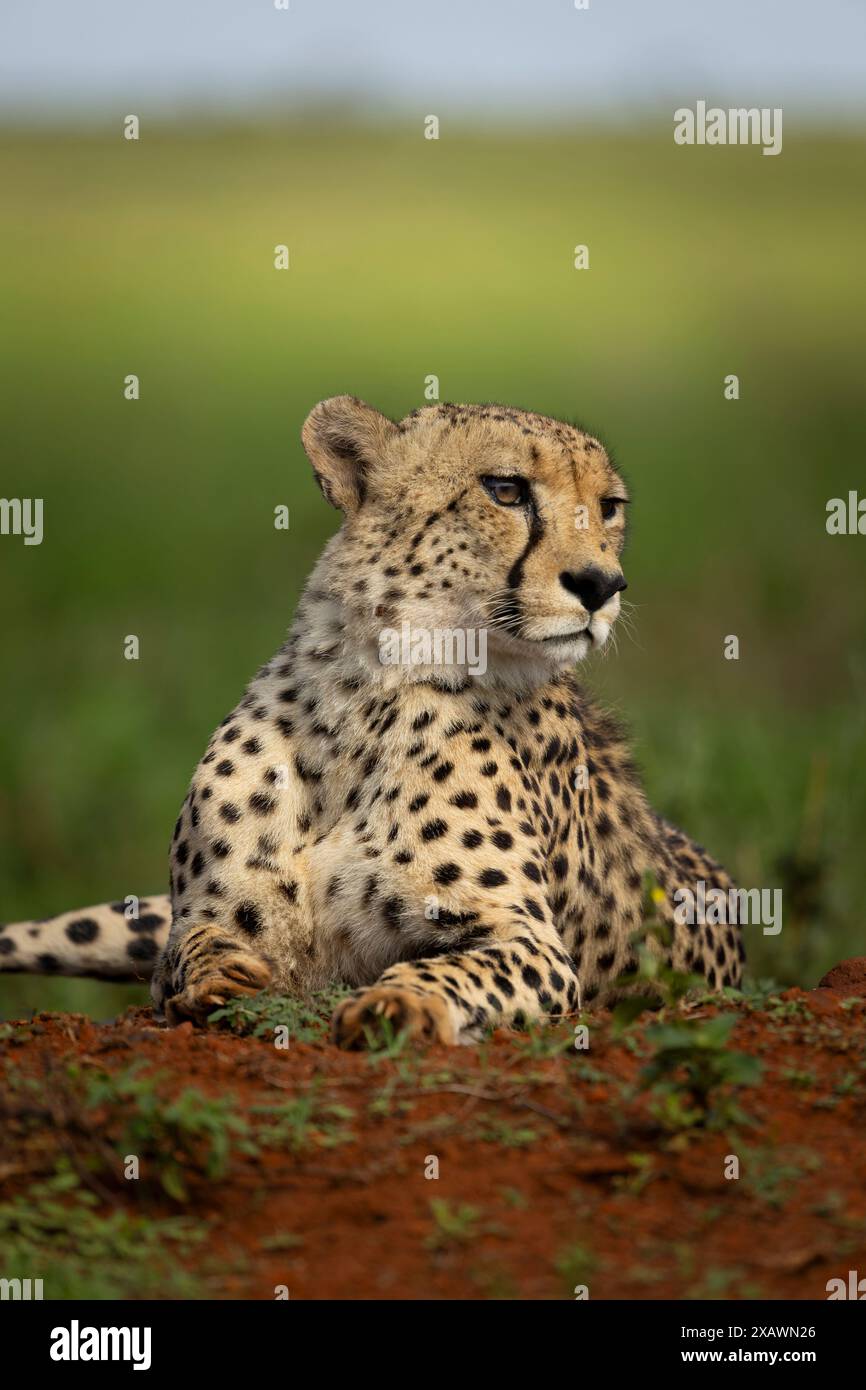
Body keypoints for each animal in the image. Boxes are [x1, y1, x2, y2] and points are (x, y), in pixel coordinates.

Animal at [0, 396, 744, 1046]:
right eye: (506, 490)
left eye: (609, 508)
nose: (602, 586)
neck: (361, 705)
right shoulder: (202, 918)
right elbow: (195, 948)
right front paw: (222, 977)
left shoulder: (532, 942)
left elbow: (458, 967)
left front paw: (397, 1003)